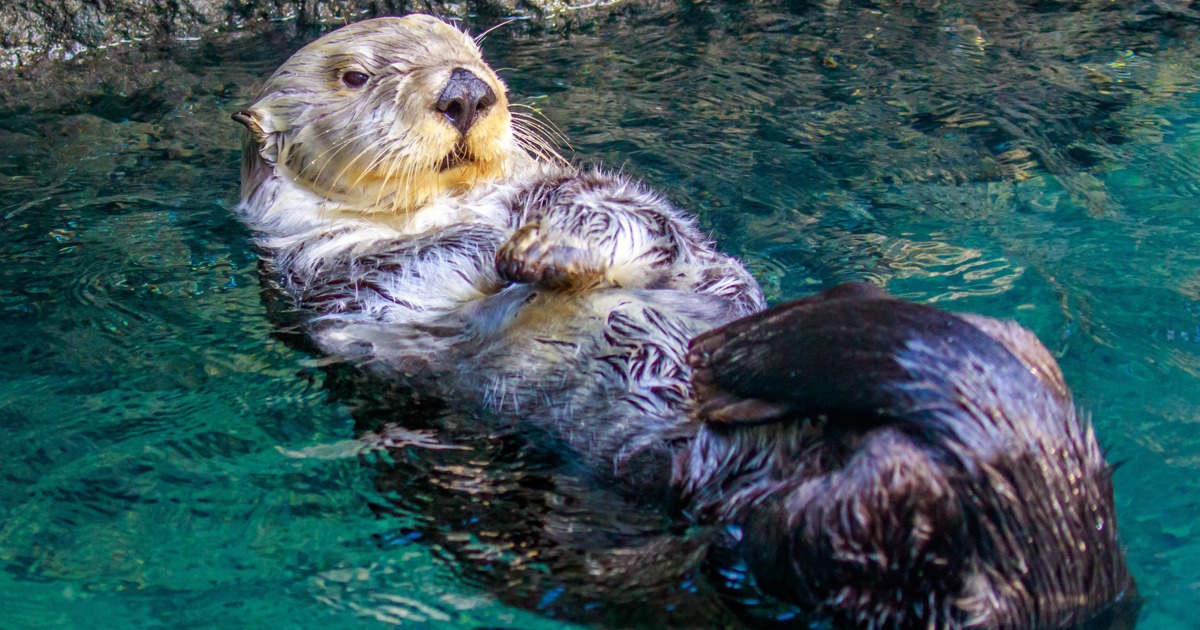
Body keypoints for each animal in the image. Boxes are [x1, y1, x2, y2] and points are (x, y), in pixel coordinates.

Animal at [233, 15, 1135, 628]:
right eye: (355, 77)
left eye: (475, 52)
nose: (464, 90)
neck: (454, 208)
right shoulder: (342, 291)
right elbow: (427, 279)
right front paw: (512, 253)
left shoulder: (629, 208)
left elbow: (633, 215)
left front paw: (547, 238)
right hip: (800, 528)